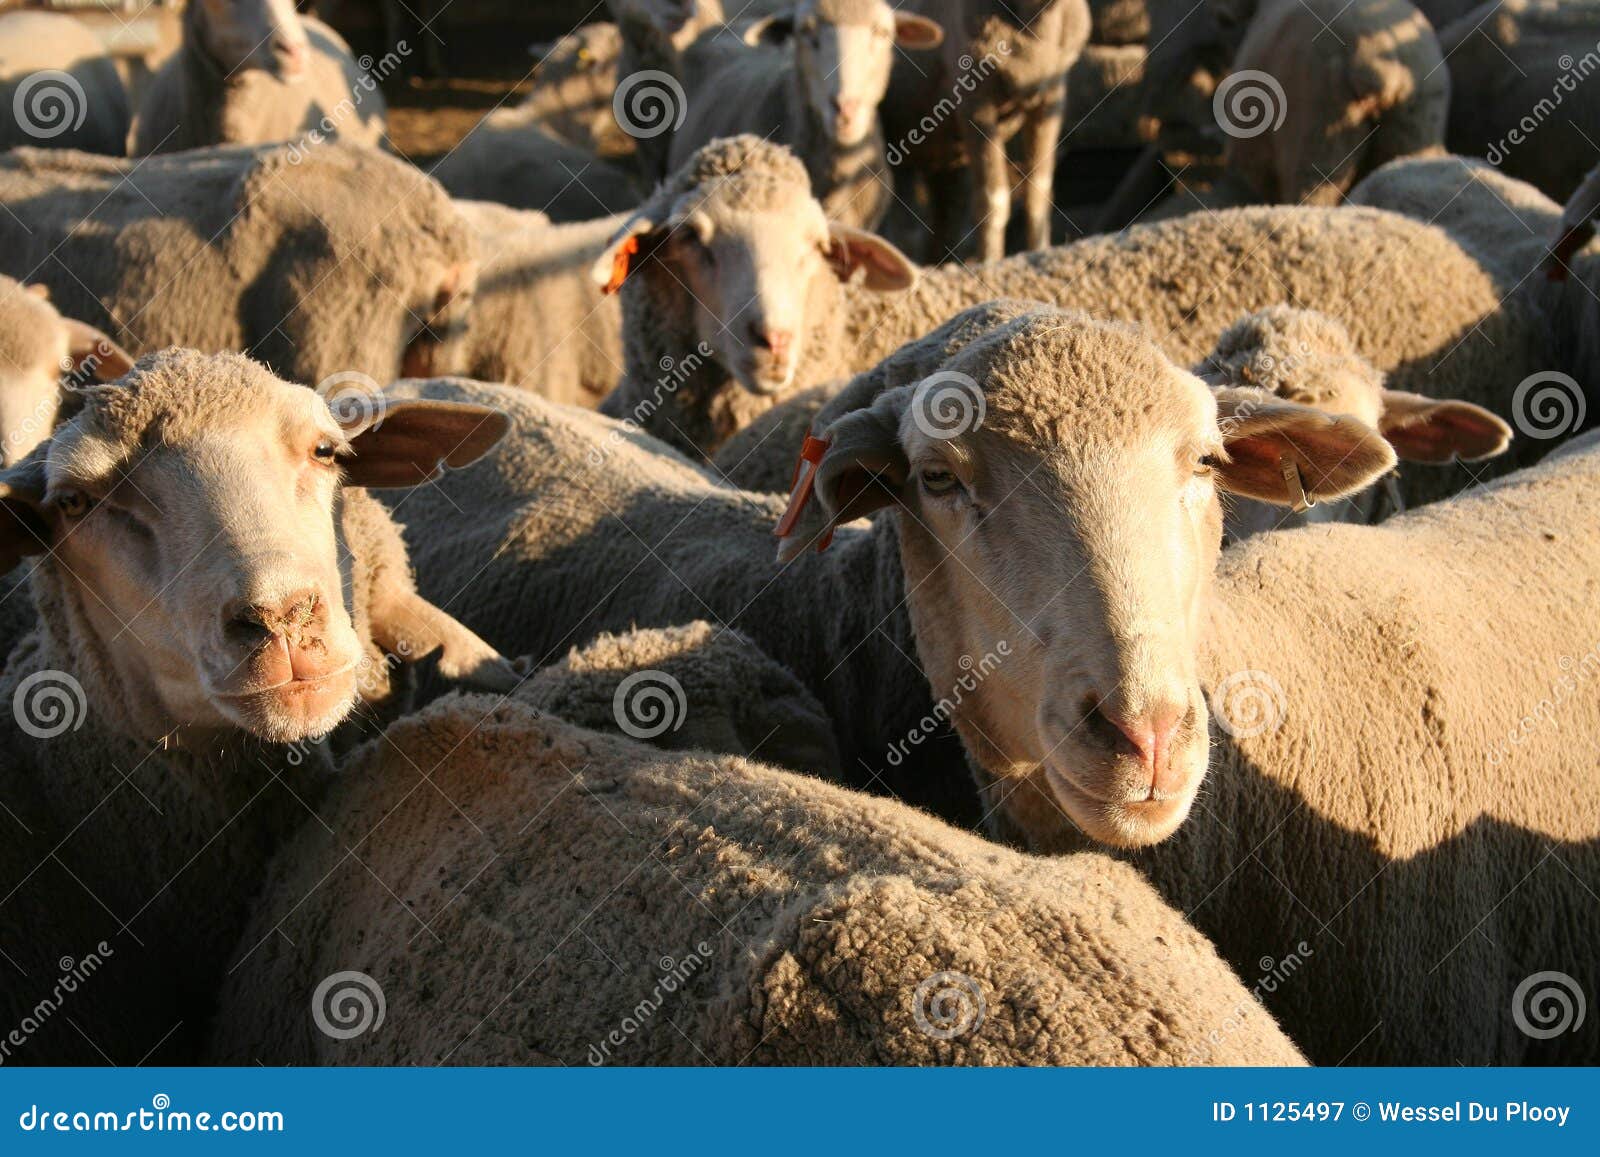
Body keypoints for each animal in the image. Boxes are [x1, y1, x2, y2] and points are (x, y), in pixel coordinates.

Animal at [880, 0, 1094, 263]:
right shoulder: (975, 101)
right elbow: (993, 200)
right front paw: (991, 262)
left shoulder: (1050, 96)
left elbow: (1038, 194)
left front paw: (1038, 253)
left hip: (940, 160)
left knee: (943, 220)